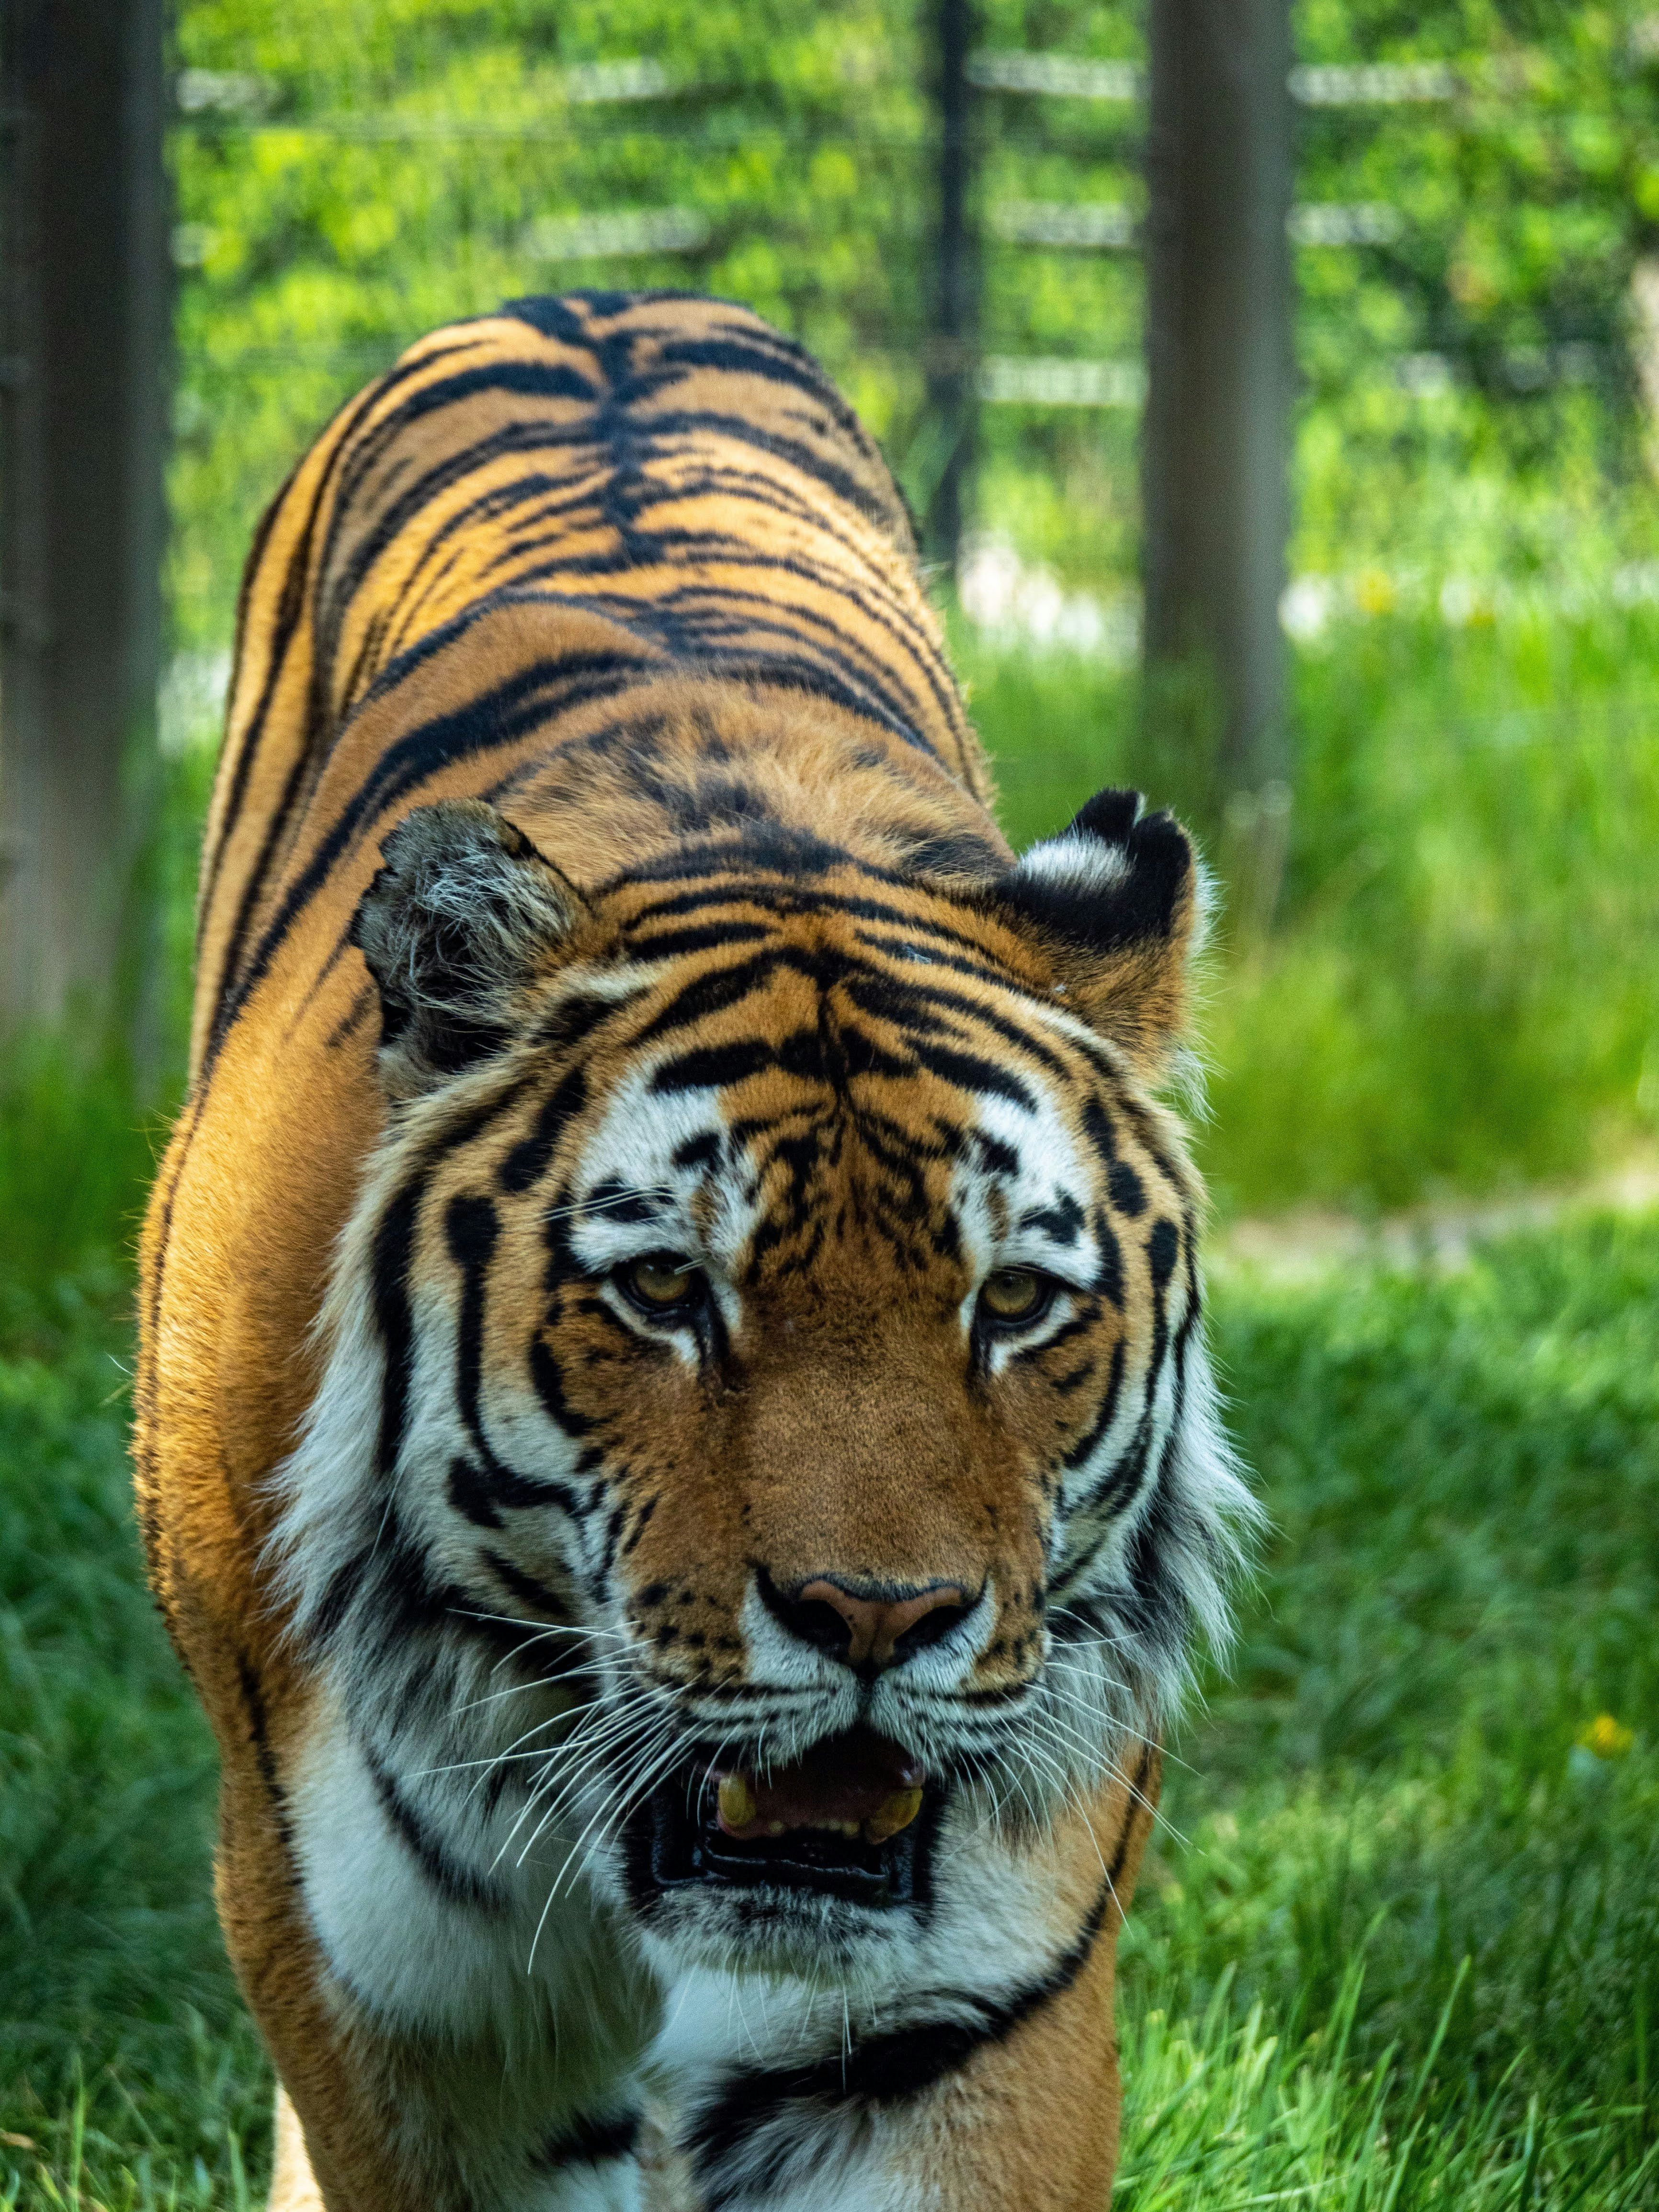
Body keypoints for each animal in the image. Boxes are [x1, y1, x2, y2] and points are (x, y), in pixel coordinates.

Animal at [135, 289, 1254, 2212]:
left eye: (1012, 1304)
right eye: (667, 1289)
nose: (877, 1619)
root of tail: (580, 300)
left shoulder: (964, 2010)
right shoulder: (404, 2009)